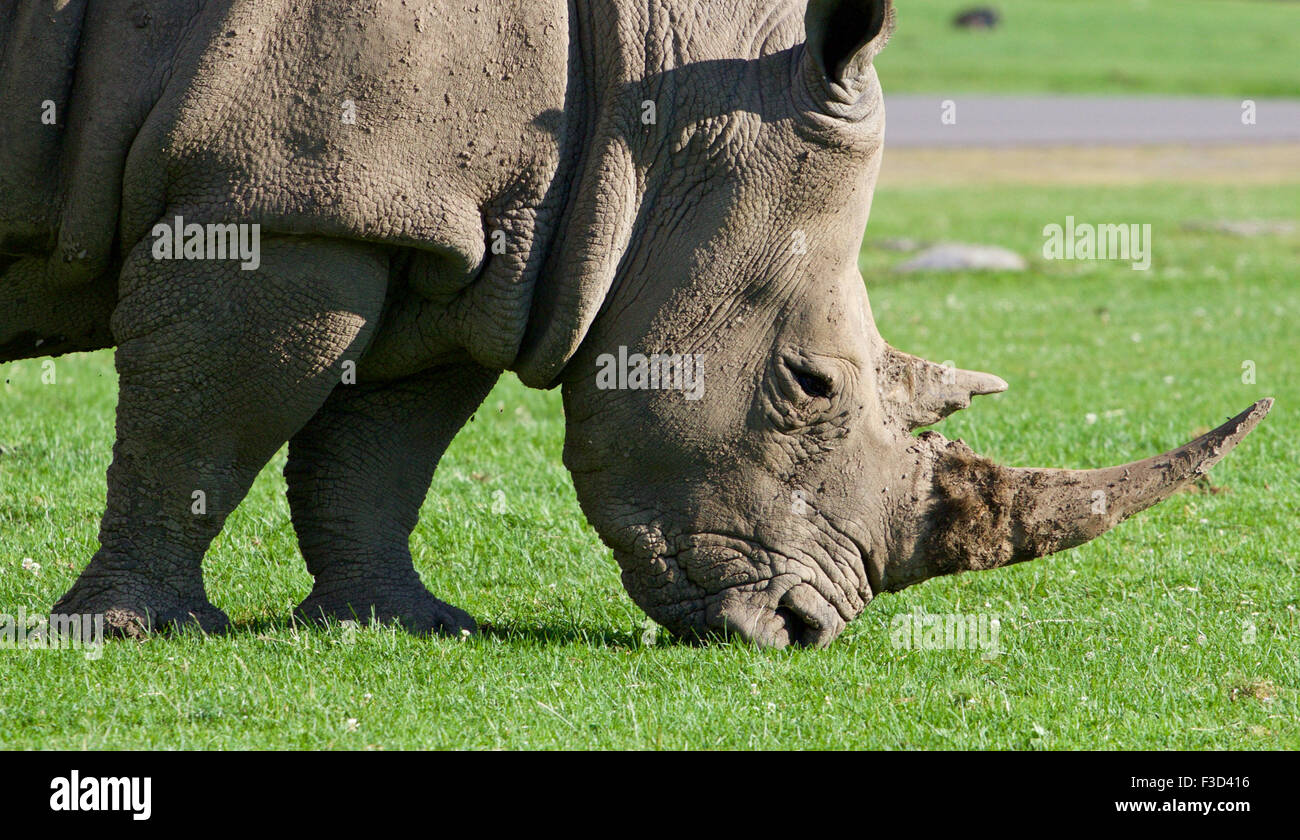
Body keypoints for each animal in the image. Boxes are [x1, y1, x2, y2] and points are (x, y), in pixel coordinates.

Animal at [0, 0, 1271, 648]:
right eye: (809, 384)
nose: (804, 631)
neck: (653, 115)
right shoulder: (282, 199)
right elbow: (202, 426)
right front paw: (131, 628)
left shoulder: (461, 236)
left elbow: (381, 448)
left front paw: (404, 623)